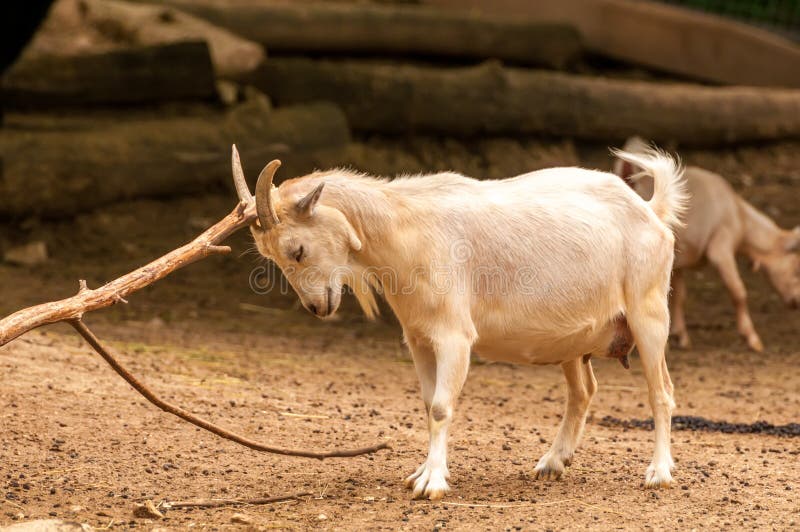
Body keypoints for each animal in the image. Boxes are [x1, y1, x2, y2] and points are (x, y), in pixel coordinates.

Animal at [239, 149, 686, 500]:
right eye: (273, 256)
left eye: (297, 250)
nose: (317, 306)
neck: (406, 227)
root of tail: (651, 211)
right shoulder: (419, 339)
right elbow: (427, 404)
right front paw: (421, 473)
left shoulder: (453, 337)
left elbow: (440, 406)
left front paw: (432, 483)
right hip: (573, 342)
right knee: (583, 392)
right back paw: (551, 463)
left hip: (648, 314)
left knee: (662, 392)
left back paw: (658, 473)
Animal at [614, 137, 800, 352]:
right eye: (796, 269)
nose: (797, 302)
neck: (740, 216)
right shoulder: (720, 247)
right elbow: (738, 291)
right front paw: (752, 338)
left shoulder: (678, 260)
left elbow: (679, 296)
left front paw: (681, 336)